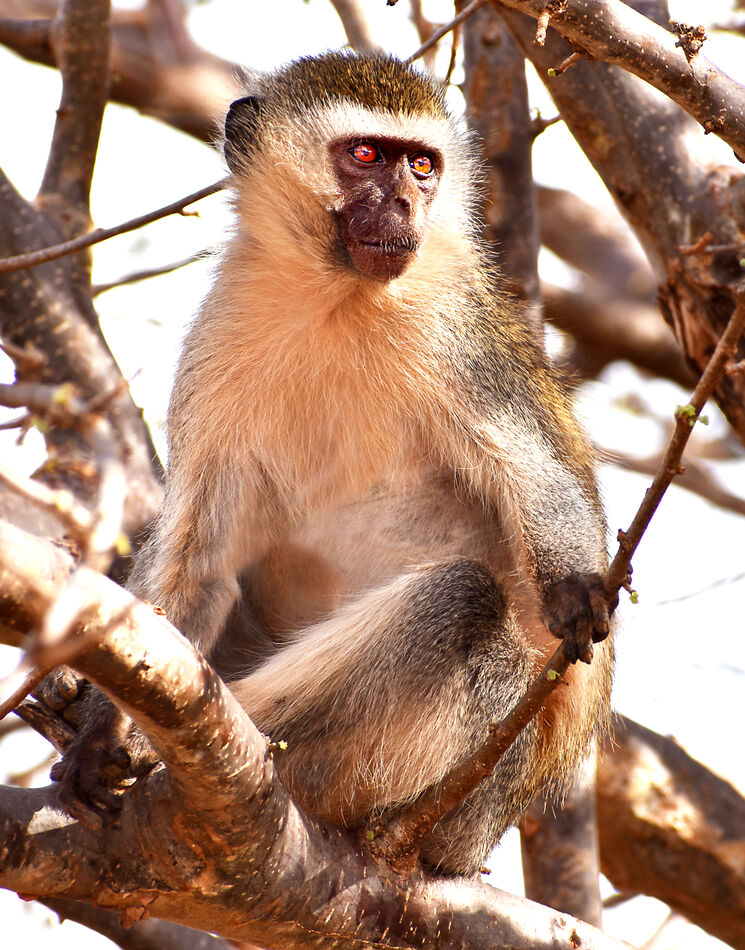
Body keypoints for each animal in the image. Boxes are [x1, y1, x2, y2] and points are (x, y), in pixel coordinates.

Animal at [54, 51, 614, 876]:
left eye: (422, 166)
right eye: (366, 156)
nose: (406, 206)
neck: (335, 294)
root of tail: (477, 839)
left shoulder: (455, 329)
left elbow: (531, 472)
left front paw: (573, 586)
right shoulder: (218, 337)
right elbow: (198, 561)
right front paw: (100, 737)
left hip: (462, 775)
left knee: (460, 599)